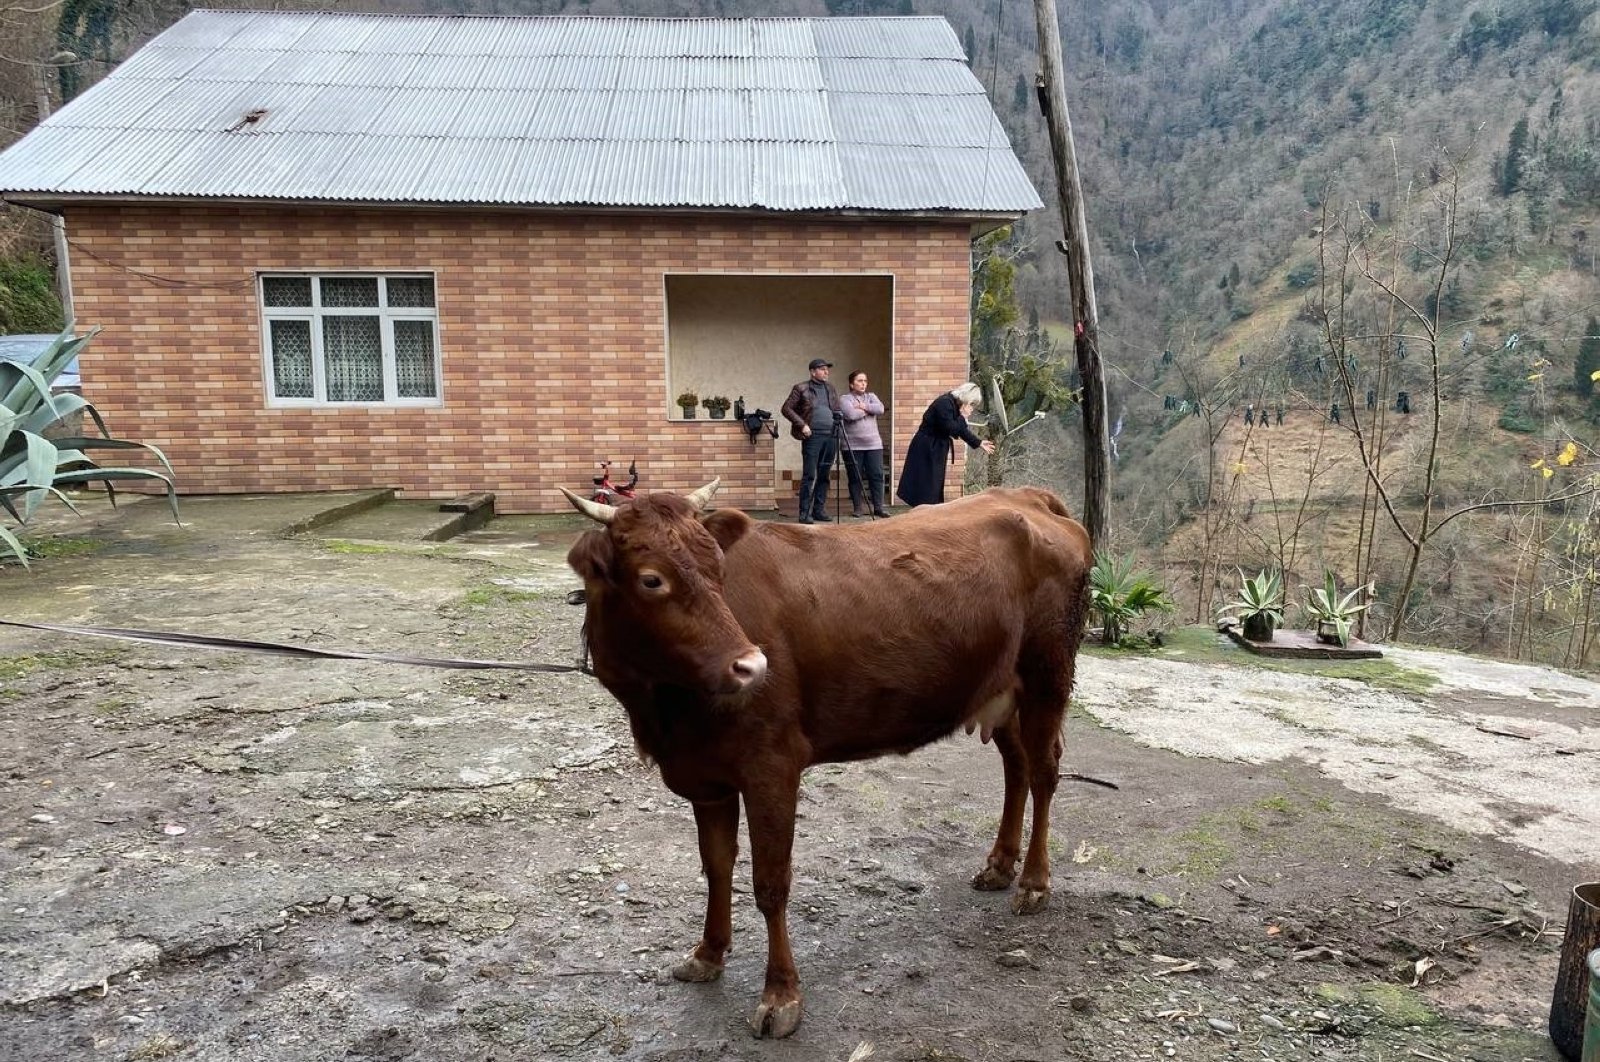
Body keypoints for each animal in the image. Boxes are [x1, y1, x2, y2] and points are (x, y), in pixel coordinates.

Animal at [558, 481, 1092, 1038]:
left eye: (719, 571)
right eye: (651, 579)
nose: (752, 666)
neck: (666, 715)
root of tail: (1024, 496)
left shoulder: (772, 765)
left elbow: (770, 883)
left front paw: (780, 995)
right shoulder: (705, 775)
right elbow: (717, 866)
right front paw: (709, 952)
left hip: (1048, 673)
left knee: (1045, 770)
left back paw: (1034, 883)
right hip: (1000, 687)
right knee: (1017, 767)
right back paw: (1000, 865)